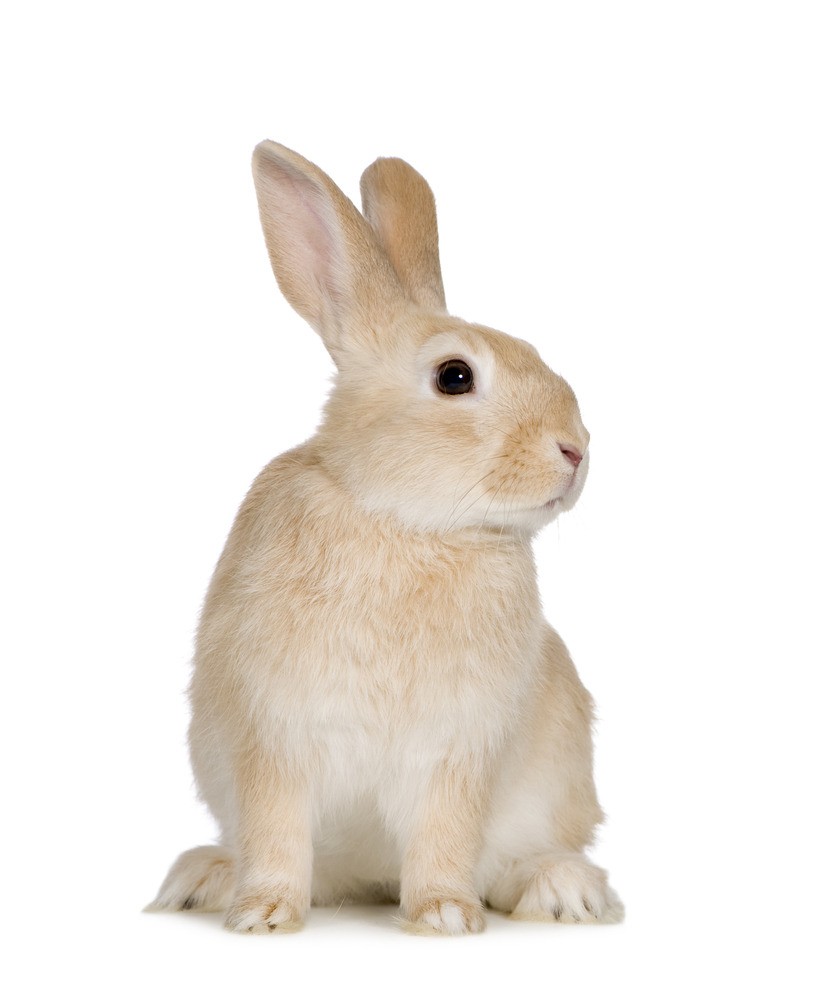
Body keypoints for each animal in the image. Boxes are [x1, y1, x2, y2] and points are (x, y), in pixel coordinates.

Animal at [147, 140, 623, 934]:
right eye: (454, 376)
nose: (576, 450)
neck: (402, 519)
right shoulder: (273, 736)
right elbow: (276, 830)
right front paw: (263, 914)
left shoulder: (456, 751)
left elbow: (444, 835)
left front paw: (445, 916)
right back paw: (204, 878)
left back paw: (564, 890)